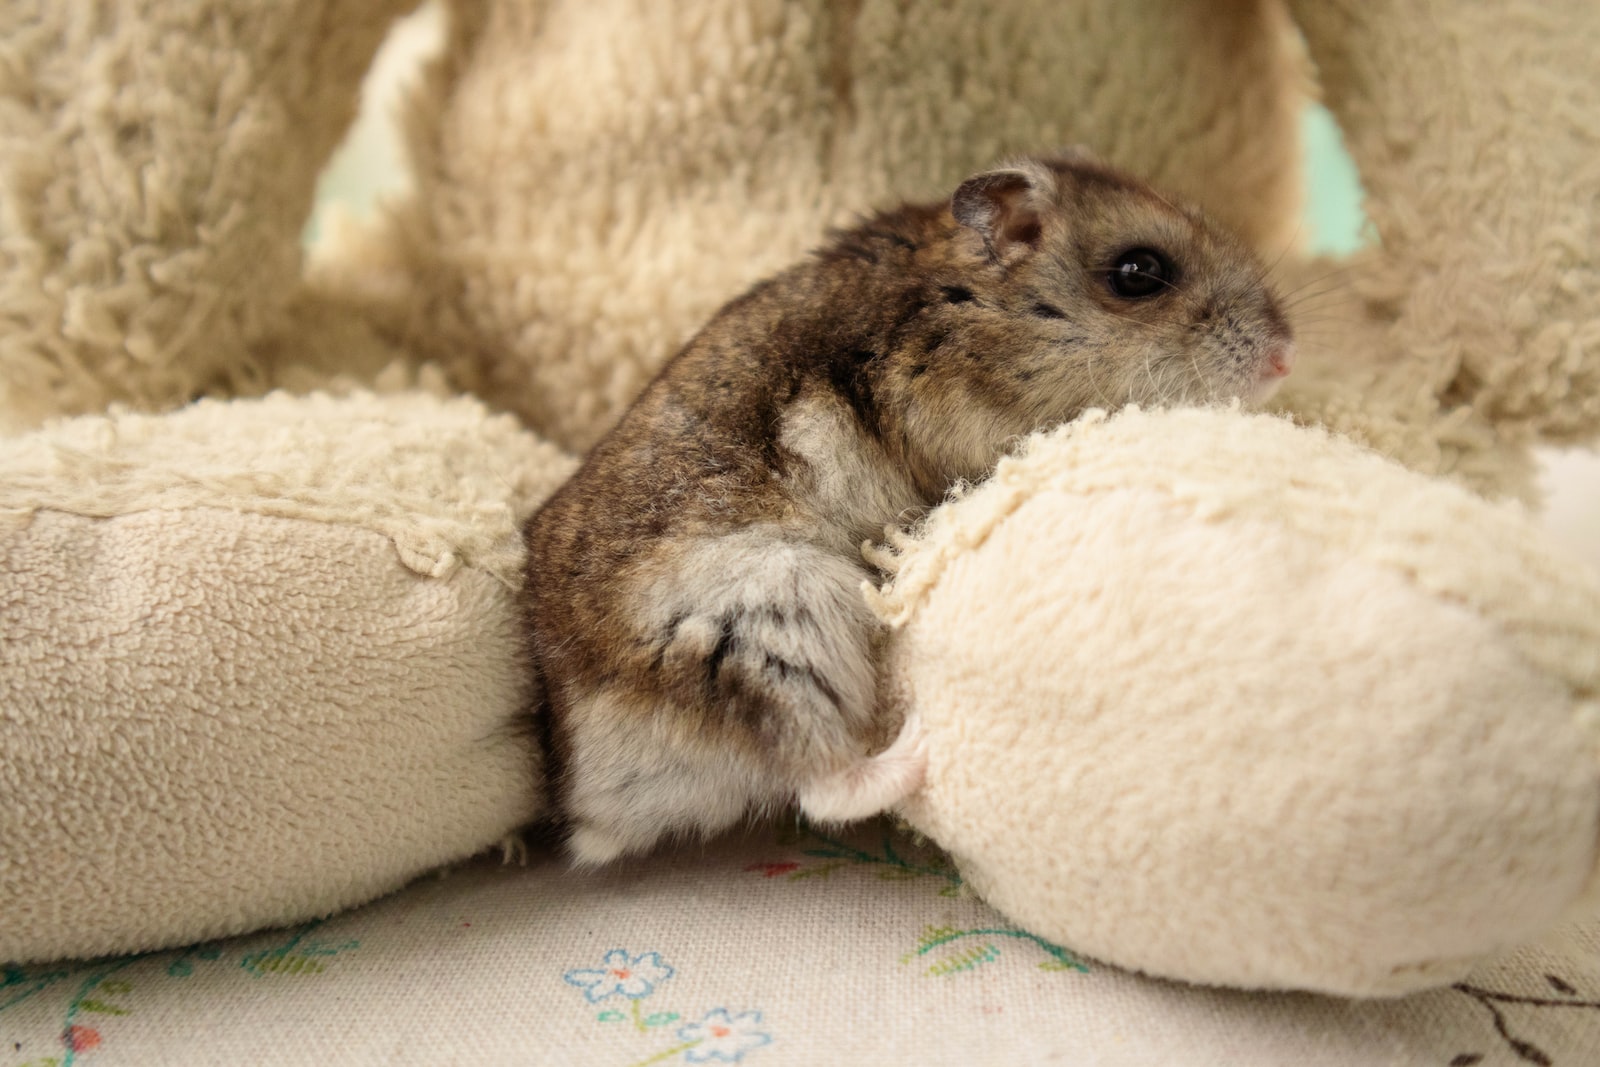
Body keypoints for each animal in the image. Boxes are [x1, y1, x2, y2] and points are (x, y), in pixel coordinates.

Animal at [523, 153, 1294, 864]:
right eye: (1139, 272)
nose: (1287, 355)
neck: (971, 303)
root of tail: (590, 805)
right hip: (774, 615)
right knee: (823, 784)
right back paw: (923, 740)